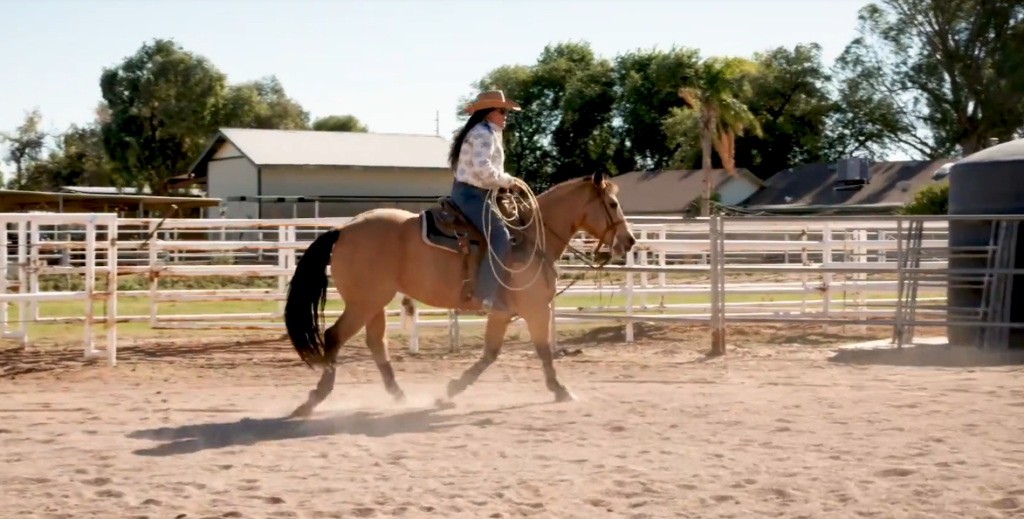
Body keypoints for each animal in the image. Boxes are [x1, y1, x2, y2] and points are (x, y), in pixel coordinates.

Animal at [283, 171, 636, 417]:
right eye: (613, 204)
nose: (629, 240)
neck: (532, 239)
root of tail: (343, 229)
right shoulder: (535, 309)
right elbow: (543, 351)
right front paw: (561, 390)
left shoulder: (502, 312)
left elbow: (490, 353)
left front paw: (449, 391)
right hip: (363, 302)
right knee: (334, 336)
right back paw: (314, 399)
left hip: (375, 302)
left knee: (376, 344)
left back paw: (399, 396)